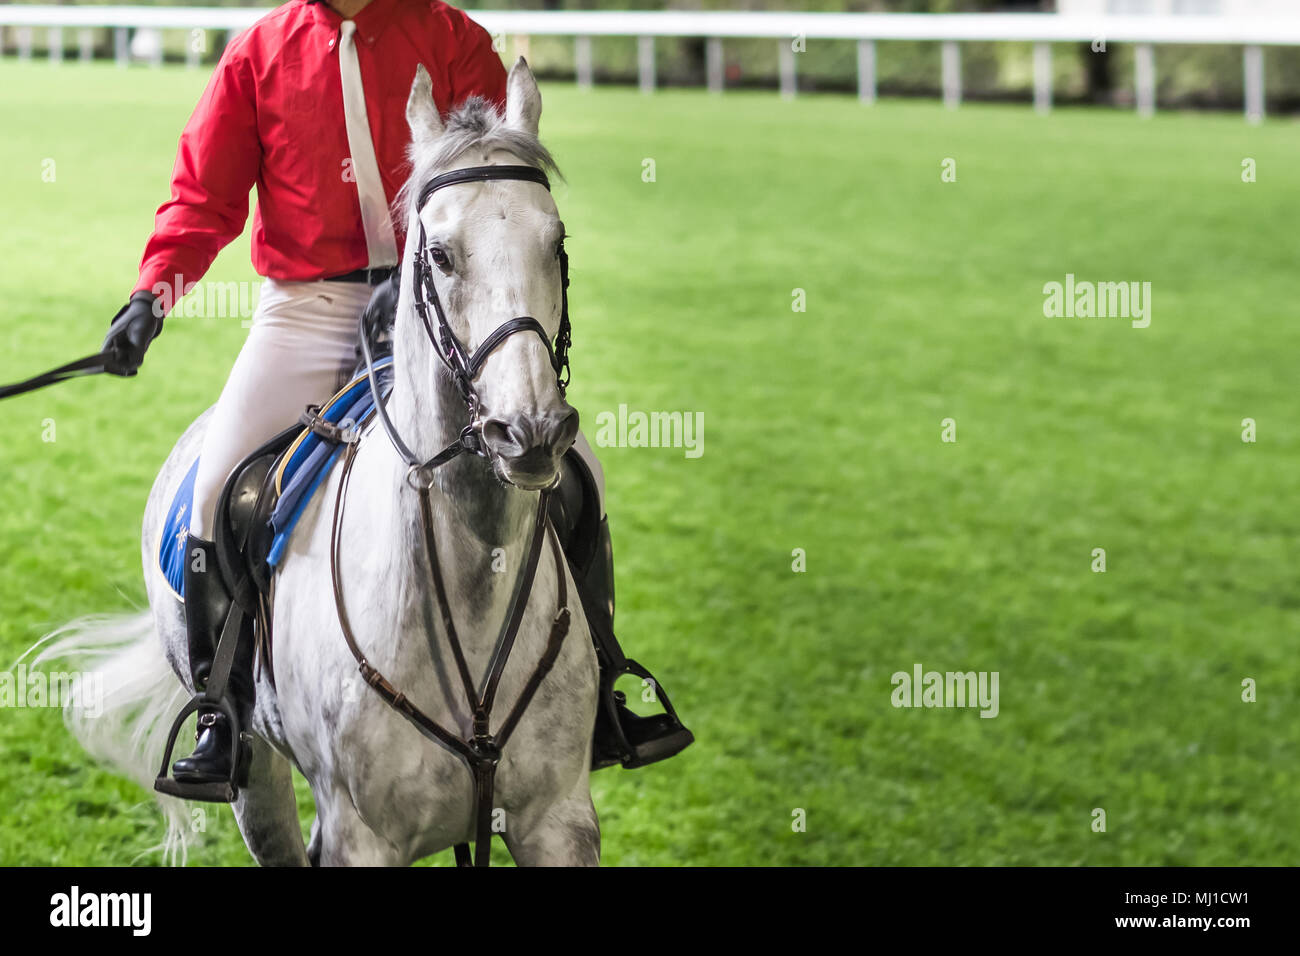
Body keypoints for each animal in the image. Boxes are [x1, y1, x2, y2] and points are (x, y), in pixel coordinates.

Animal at [38, 59, 602, 866]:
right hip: (256, 780)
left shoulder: (556, 820)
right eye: (440, 254)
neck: (470, 581)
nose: (528, 431)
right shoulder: (360, 837)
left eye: (555, 244)